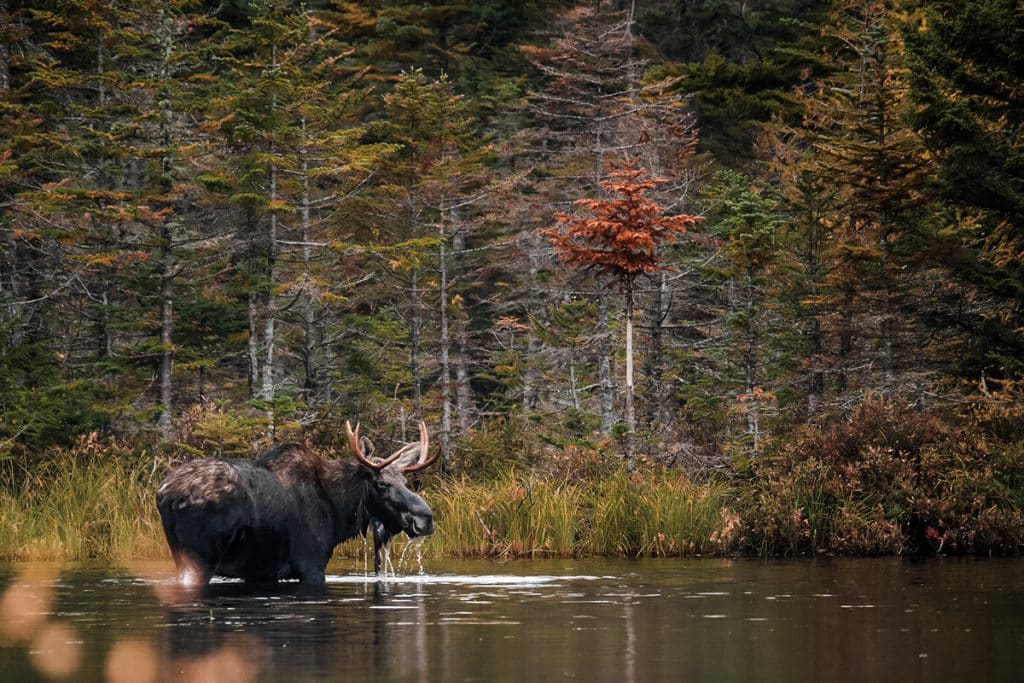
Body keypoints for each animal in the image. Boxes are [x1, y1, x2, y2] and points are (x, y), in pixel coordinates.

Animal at [156, 421, 437, 586]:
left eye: (405, 480)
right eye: (381, 483)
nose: (425, 518)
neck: (339, 512)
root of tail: (164, 494)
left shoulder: (261, 571)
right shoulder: (310, 564)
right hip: (200, 559)